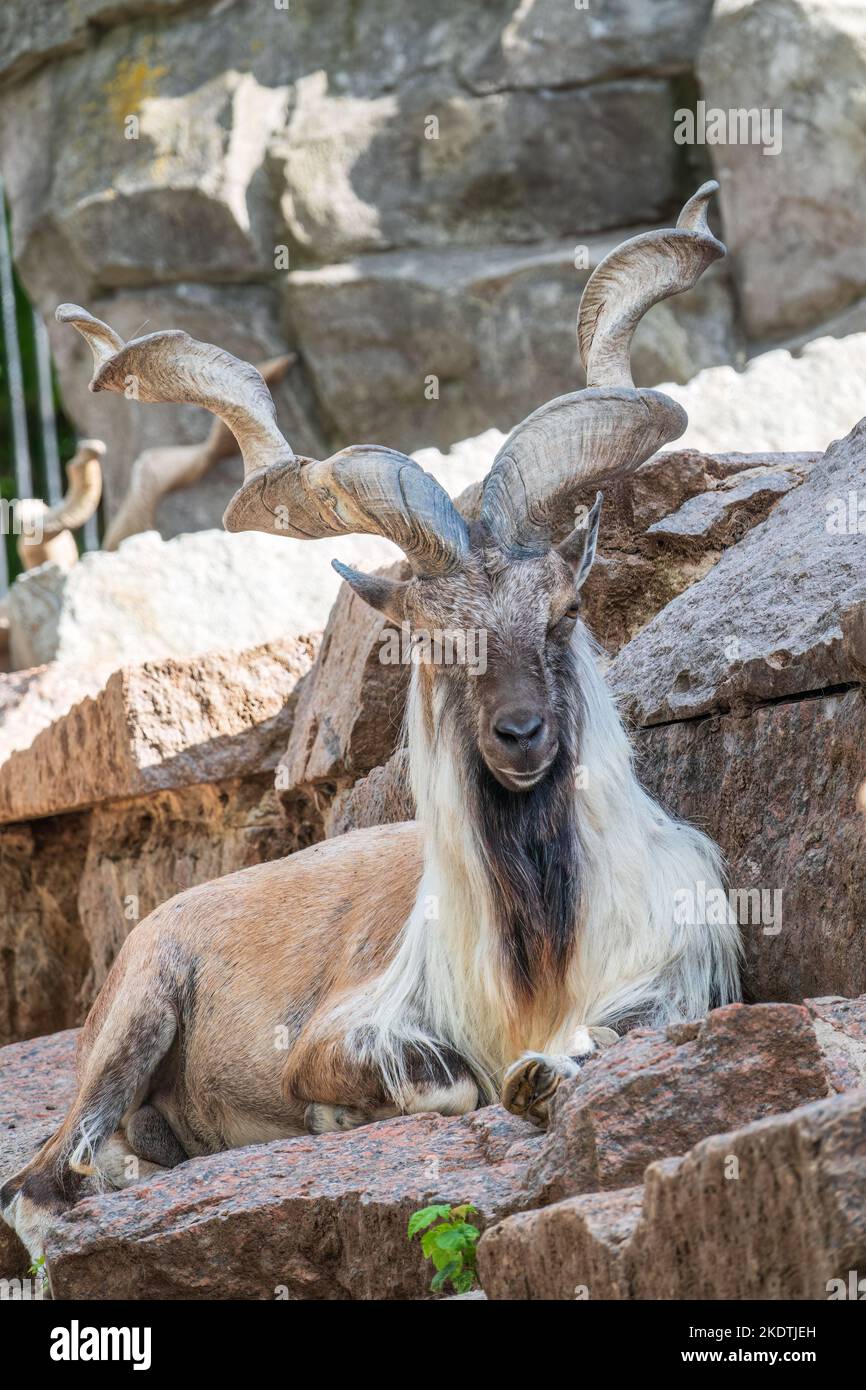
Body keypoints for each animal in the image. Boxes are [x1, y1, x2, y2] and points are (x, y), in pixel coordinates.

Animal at [1, 183, 741, 1265]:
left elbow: (604, 1039)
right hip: (137, 1009)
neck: (539, 953)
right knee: (43, 1176)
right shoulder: (338, 1038)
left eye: (564, 610)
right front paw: (352, 1116)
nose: (521, 736)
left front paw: (548, 1071)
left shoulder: (685, 983)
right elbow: (448, 1079)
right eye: (430, 638)